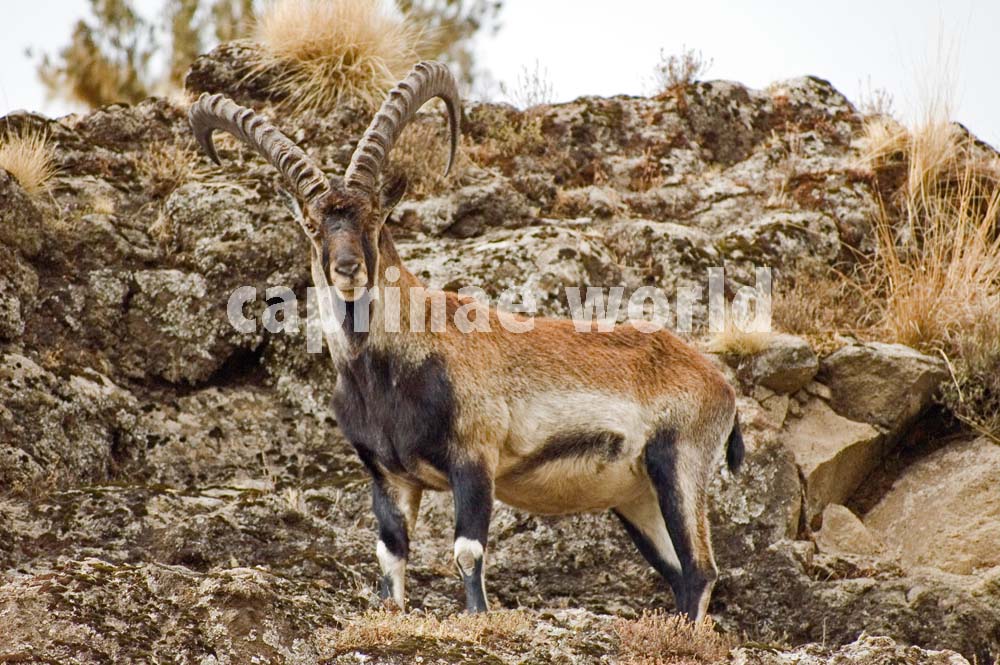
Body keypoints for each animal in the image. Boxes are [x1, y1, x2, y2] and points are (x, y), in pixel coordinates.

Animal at [189, 61, 744, 621]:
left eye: (376, 217)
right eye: (310, 224)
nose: (347, 269)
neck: (388, 369)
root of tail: (719, 384)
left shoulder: (475, 460)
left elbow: (467, 552)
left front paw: (478, 617)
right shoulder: (390, 478)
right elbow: (391, 558)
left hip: (679, 464)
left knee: (700, 570)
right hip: (637, 497)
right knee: (679, 575)